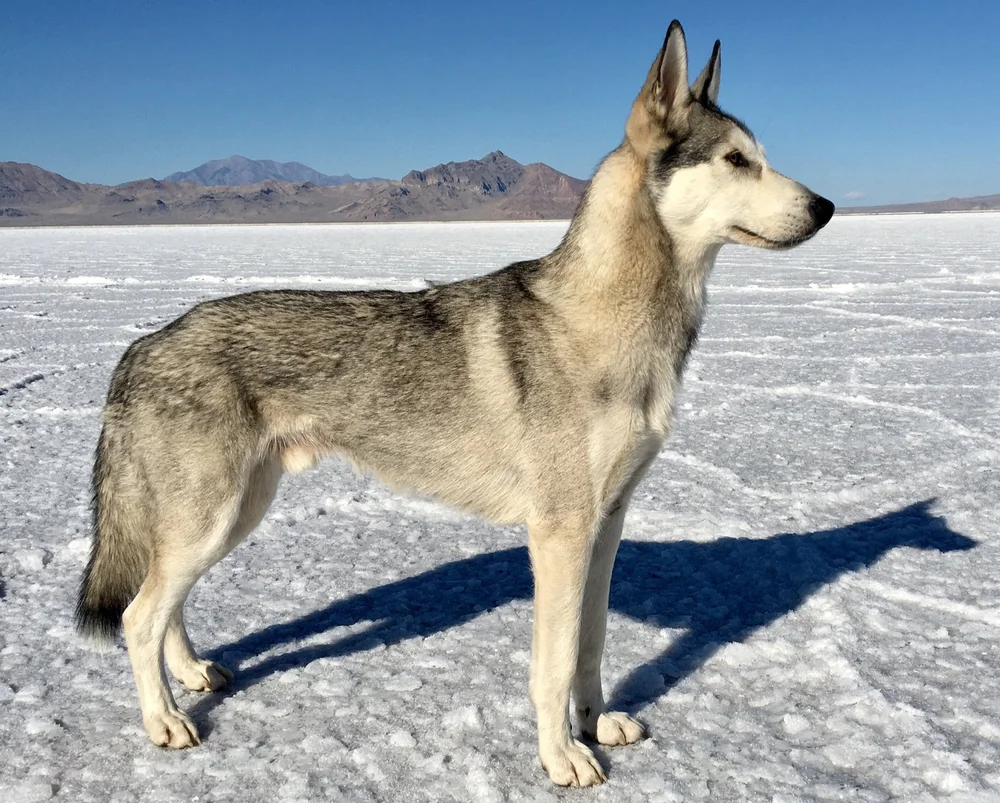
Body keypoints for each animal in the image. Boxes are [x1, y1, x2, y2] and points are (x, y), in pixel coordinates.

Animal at [76, 20, 833, 787]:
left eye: (761, 157)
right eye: (737, 160)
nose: (827, 208)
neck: (611, 320)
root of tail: (142, 344)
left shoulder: (607, 524)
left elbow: (589, 649)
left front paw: (595, 725)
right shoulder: (560, 534)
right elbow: (553, 664)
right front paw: (561, 756)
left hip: (232, 515)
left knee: (165, 603)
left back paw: (192, 675)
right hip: (213, 517)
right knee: (139, 615)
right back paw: (165, 719)